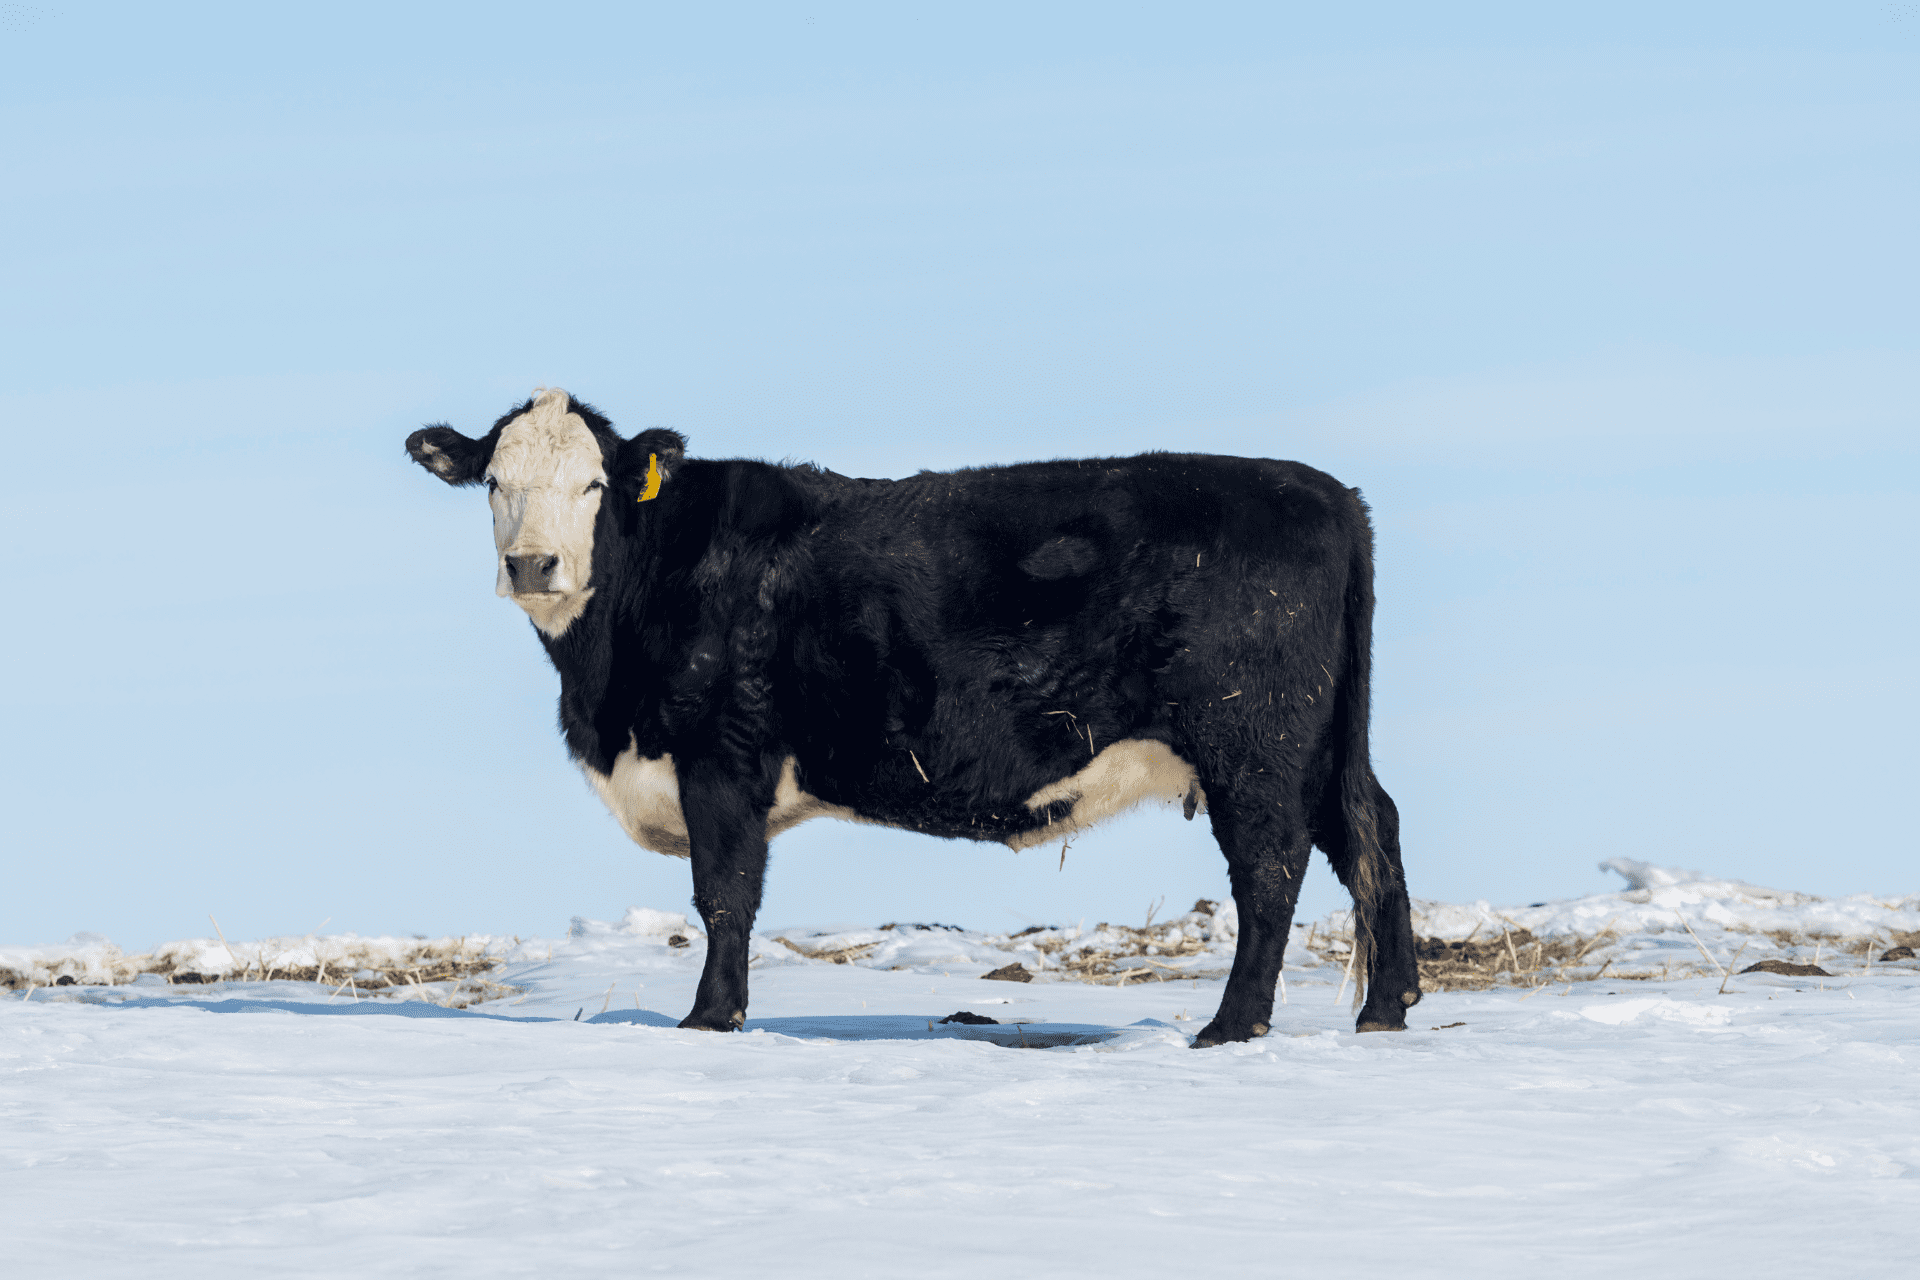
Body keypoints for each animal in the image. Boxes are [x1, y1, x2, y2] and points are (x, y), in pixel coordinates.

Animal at [405, 387, 1421, 1043]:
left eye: (595, 486)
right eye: (494, 483)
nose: (533, 565)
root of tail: (1328, 493)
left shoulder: (722, 754)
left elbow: (725, 894)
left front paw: (709, 1019)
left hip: (1253, 742)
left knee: (1271, 868)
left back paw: (1233, 1026)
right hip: (1320, 741)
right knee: (1370, 829)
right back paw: (1386, 1009)